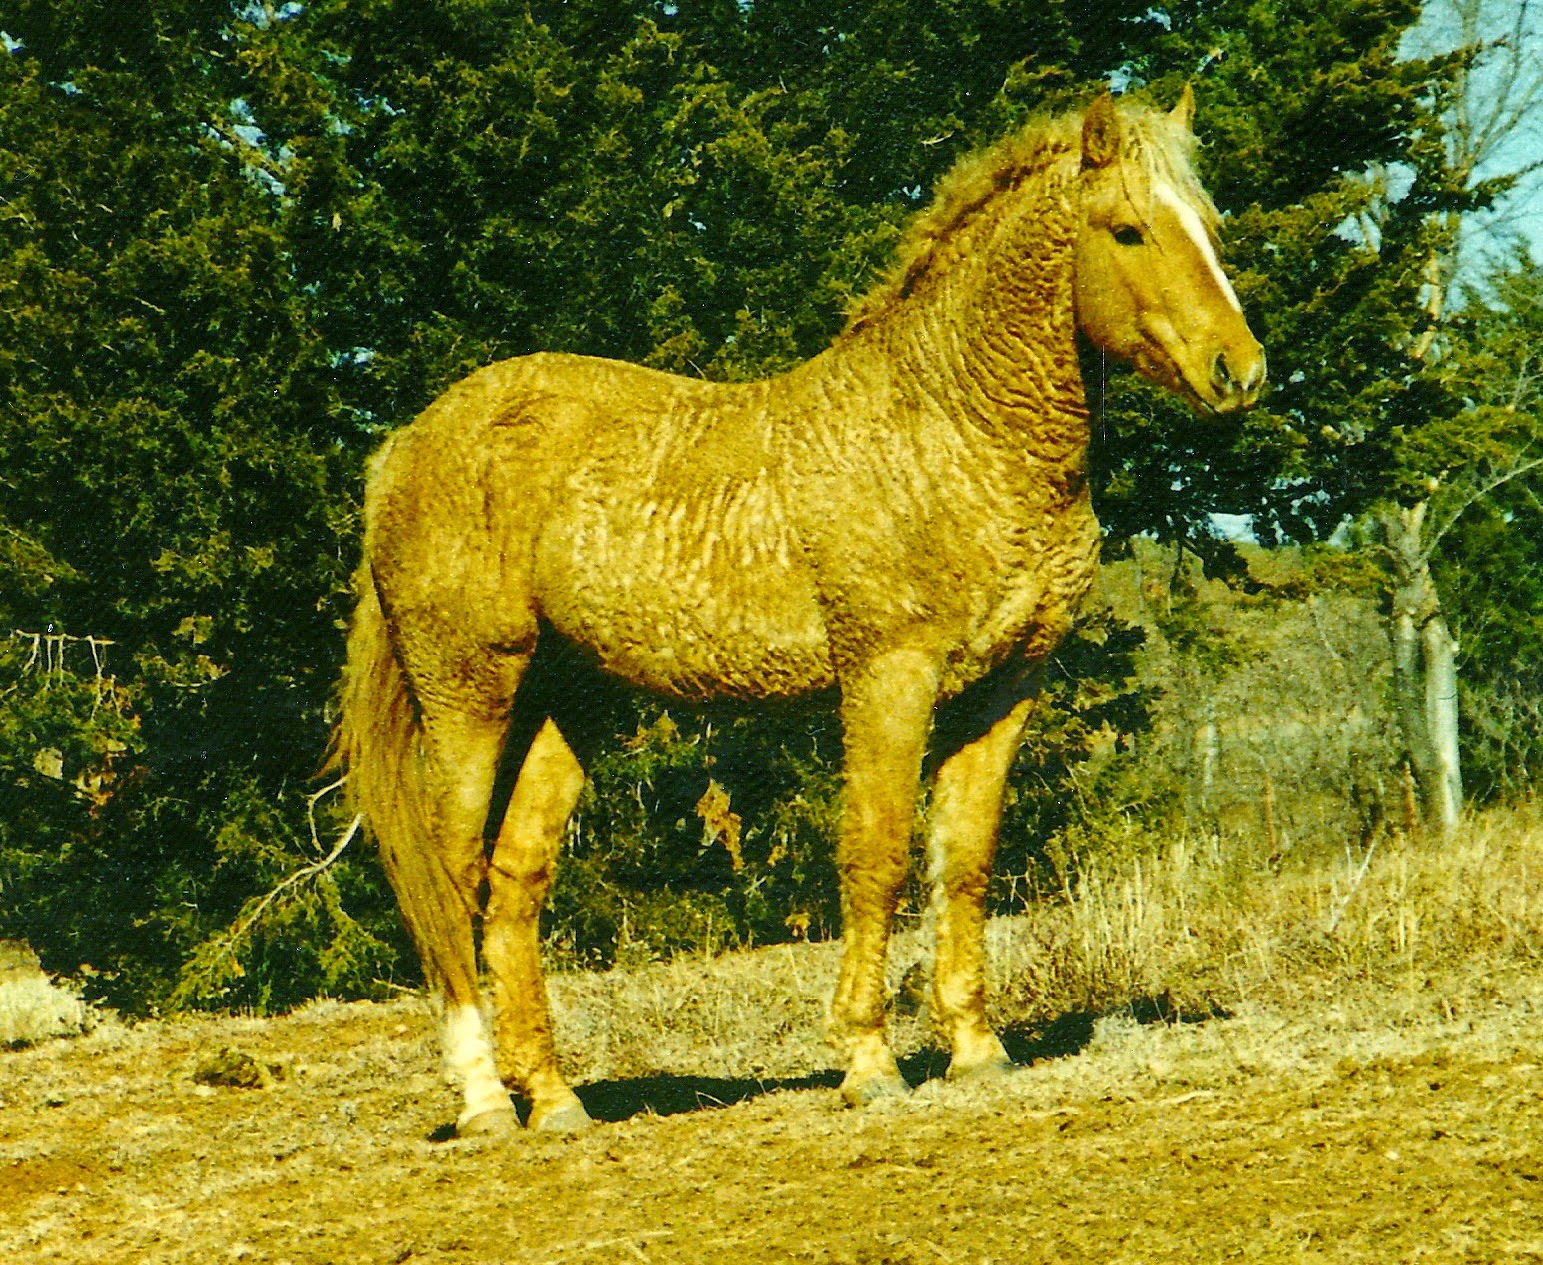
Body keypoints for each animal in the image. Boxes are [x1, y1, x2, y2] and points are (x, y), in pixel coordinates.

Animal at [336, 88, 1266, 1137]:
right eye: (1128, 229)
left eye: (1211, 228)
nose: (1239, 370)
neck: (947, 426)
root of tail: (401, 447)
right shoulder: (888, 678)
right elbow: (877, 855)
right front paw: (867, 1060)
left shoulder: (1006, 686)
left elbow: (965, 859)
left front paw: (976, 1049)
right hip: (469, 695)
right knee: (446, 877)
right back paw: (486, 1099)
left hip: (566, 706)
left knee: (513, 885)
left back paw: (557, 1099)